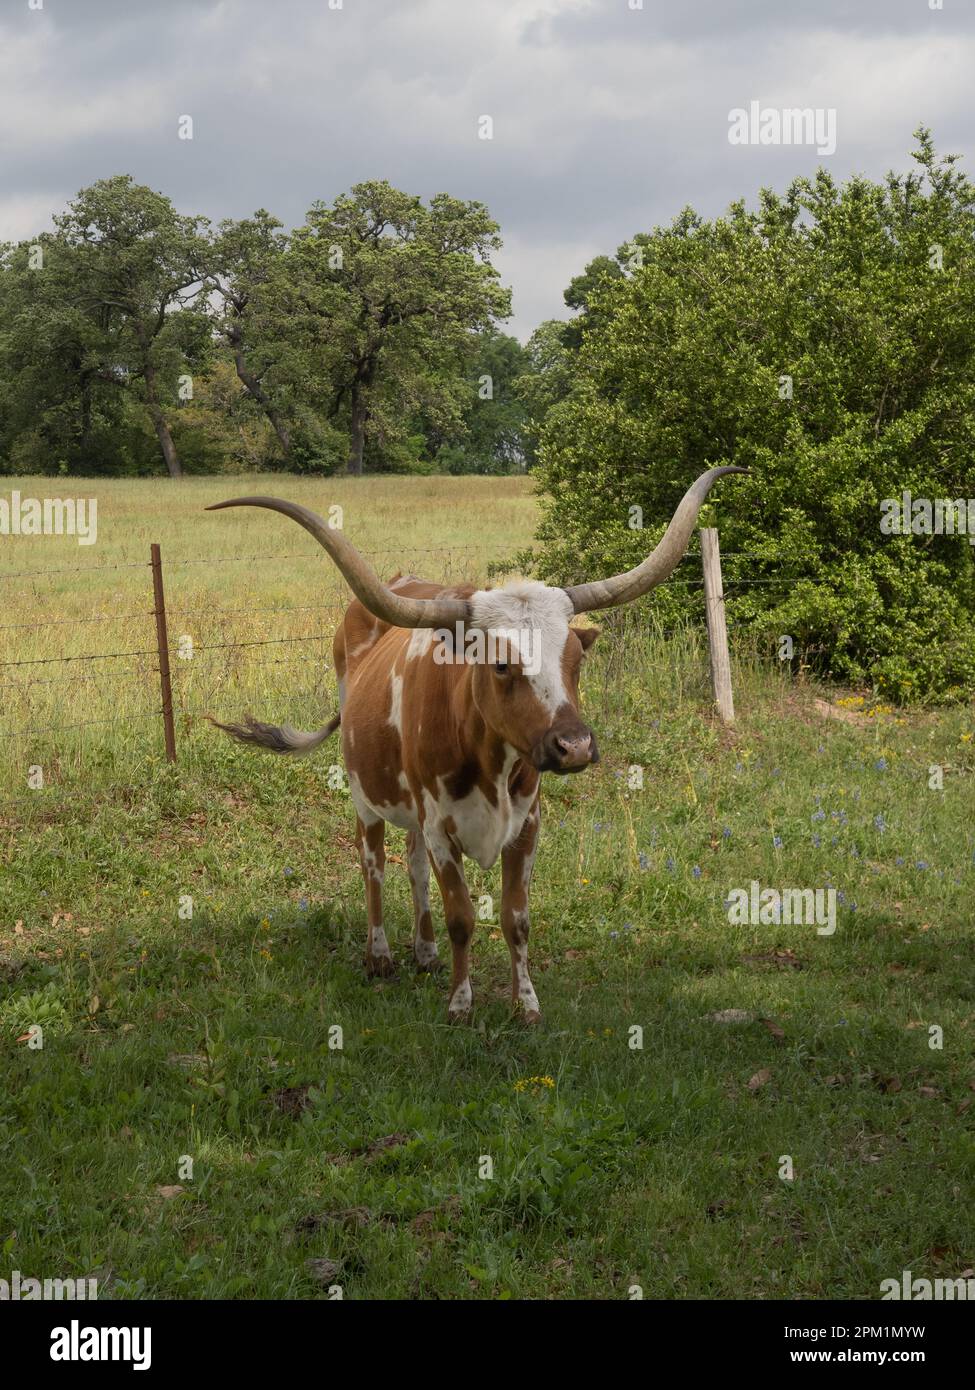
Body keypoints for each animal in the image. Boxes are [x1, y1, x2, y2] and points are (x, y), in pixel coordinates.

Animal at [208, 465, 744, 1022]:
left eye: (576, 658)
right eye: (502, 664)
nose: (574, 746)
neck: (491, 762)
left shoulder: (526, 825)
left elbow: (515, 918)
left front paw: (525, 1003)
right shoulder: (442, 828)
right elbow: (462, 917)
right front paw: (461, 1004)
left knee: (412, 863)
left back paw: (424, 952)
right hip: (364, 796)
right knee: (373, 861)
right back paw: (379, 955)